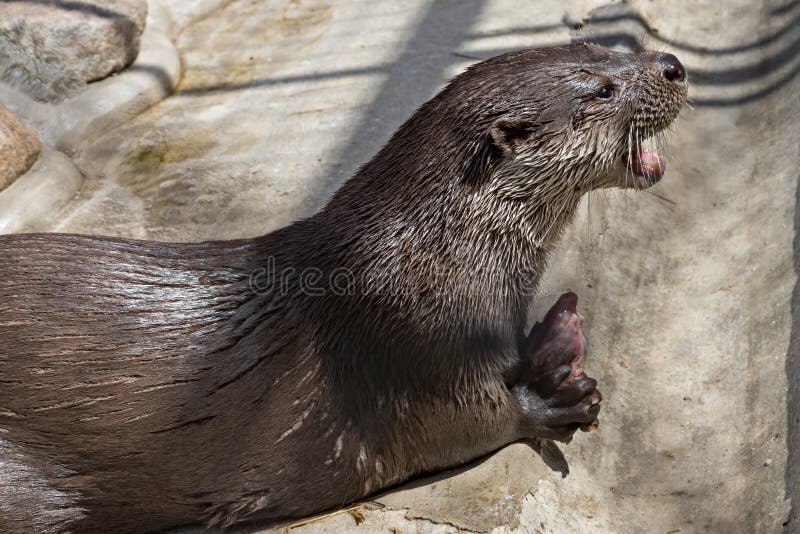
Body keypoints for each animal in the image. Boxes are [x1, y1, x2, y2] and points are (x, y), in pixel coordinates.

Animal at [0, 43, 687, 533]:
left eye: (607, 45)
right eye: (603, 89)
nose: (674, 65)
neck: (433, 259)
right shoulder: (416, 354)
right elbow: (476, 420)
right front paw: (555, 401)